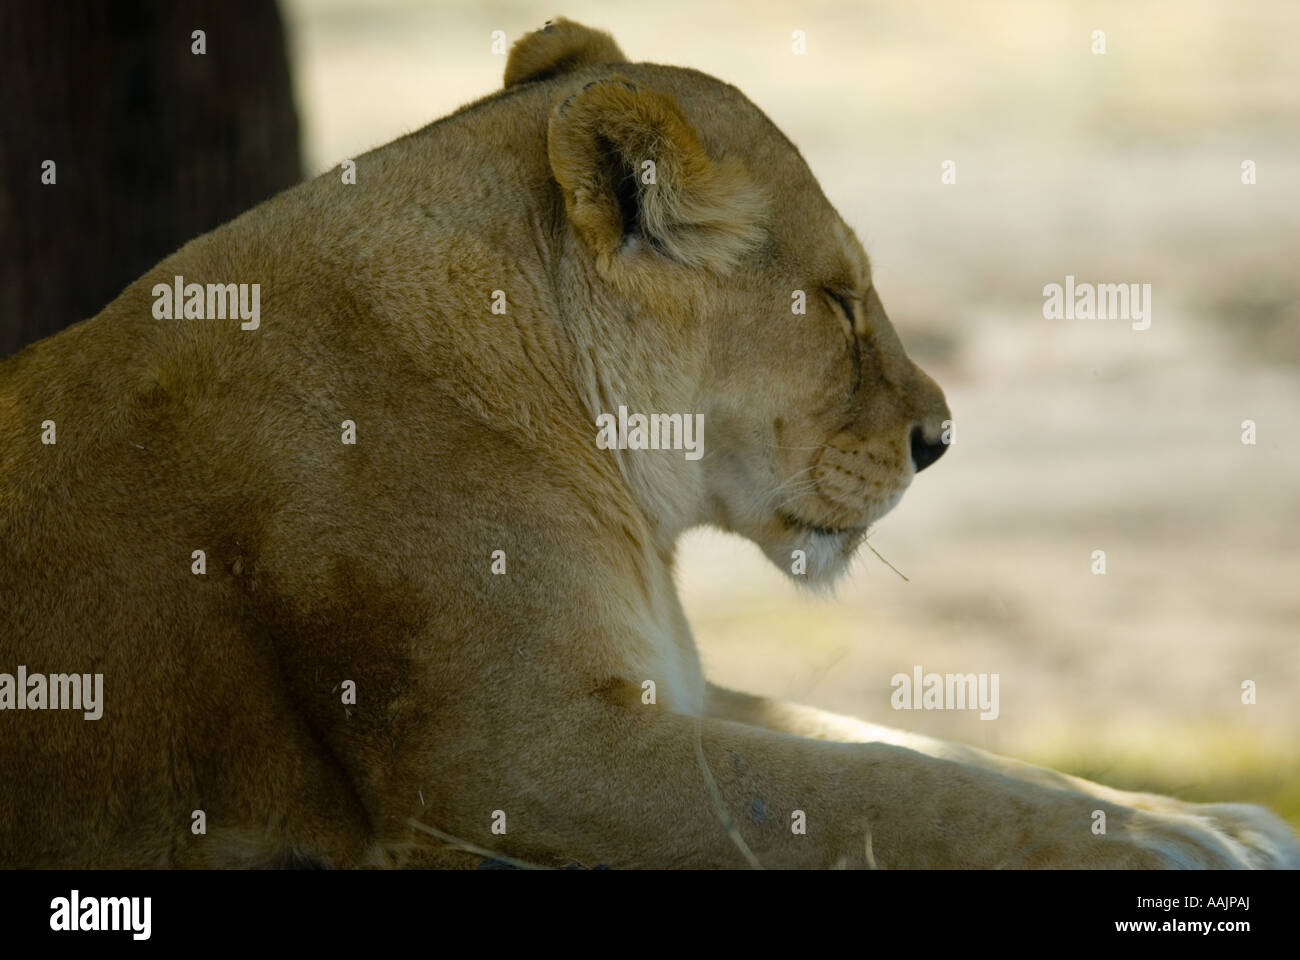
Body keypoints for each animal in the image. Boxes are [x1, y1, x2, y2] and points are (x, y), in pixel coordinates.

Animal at [1, 17, 1296, 869]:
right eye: (838, 303)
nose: (937, 437)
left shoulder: (671, 685)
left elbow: (924, 753)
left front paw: (1207, 817)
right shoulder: (513, 762)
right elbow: (877, 790)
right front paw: (1168, 844)